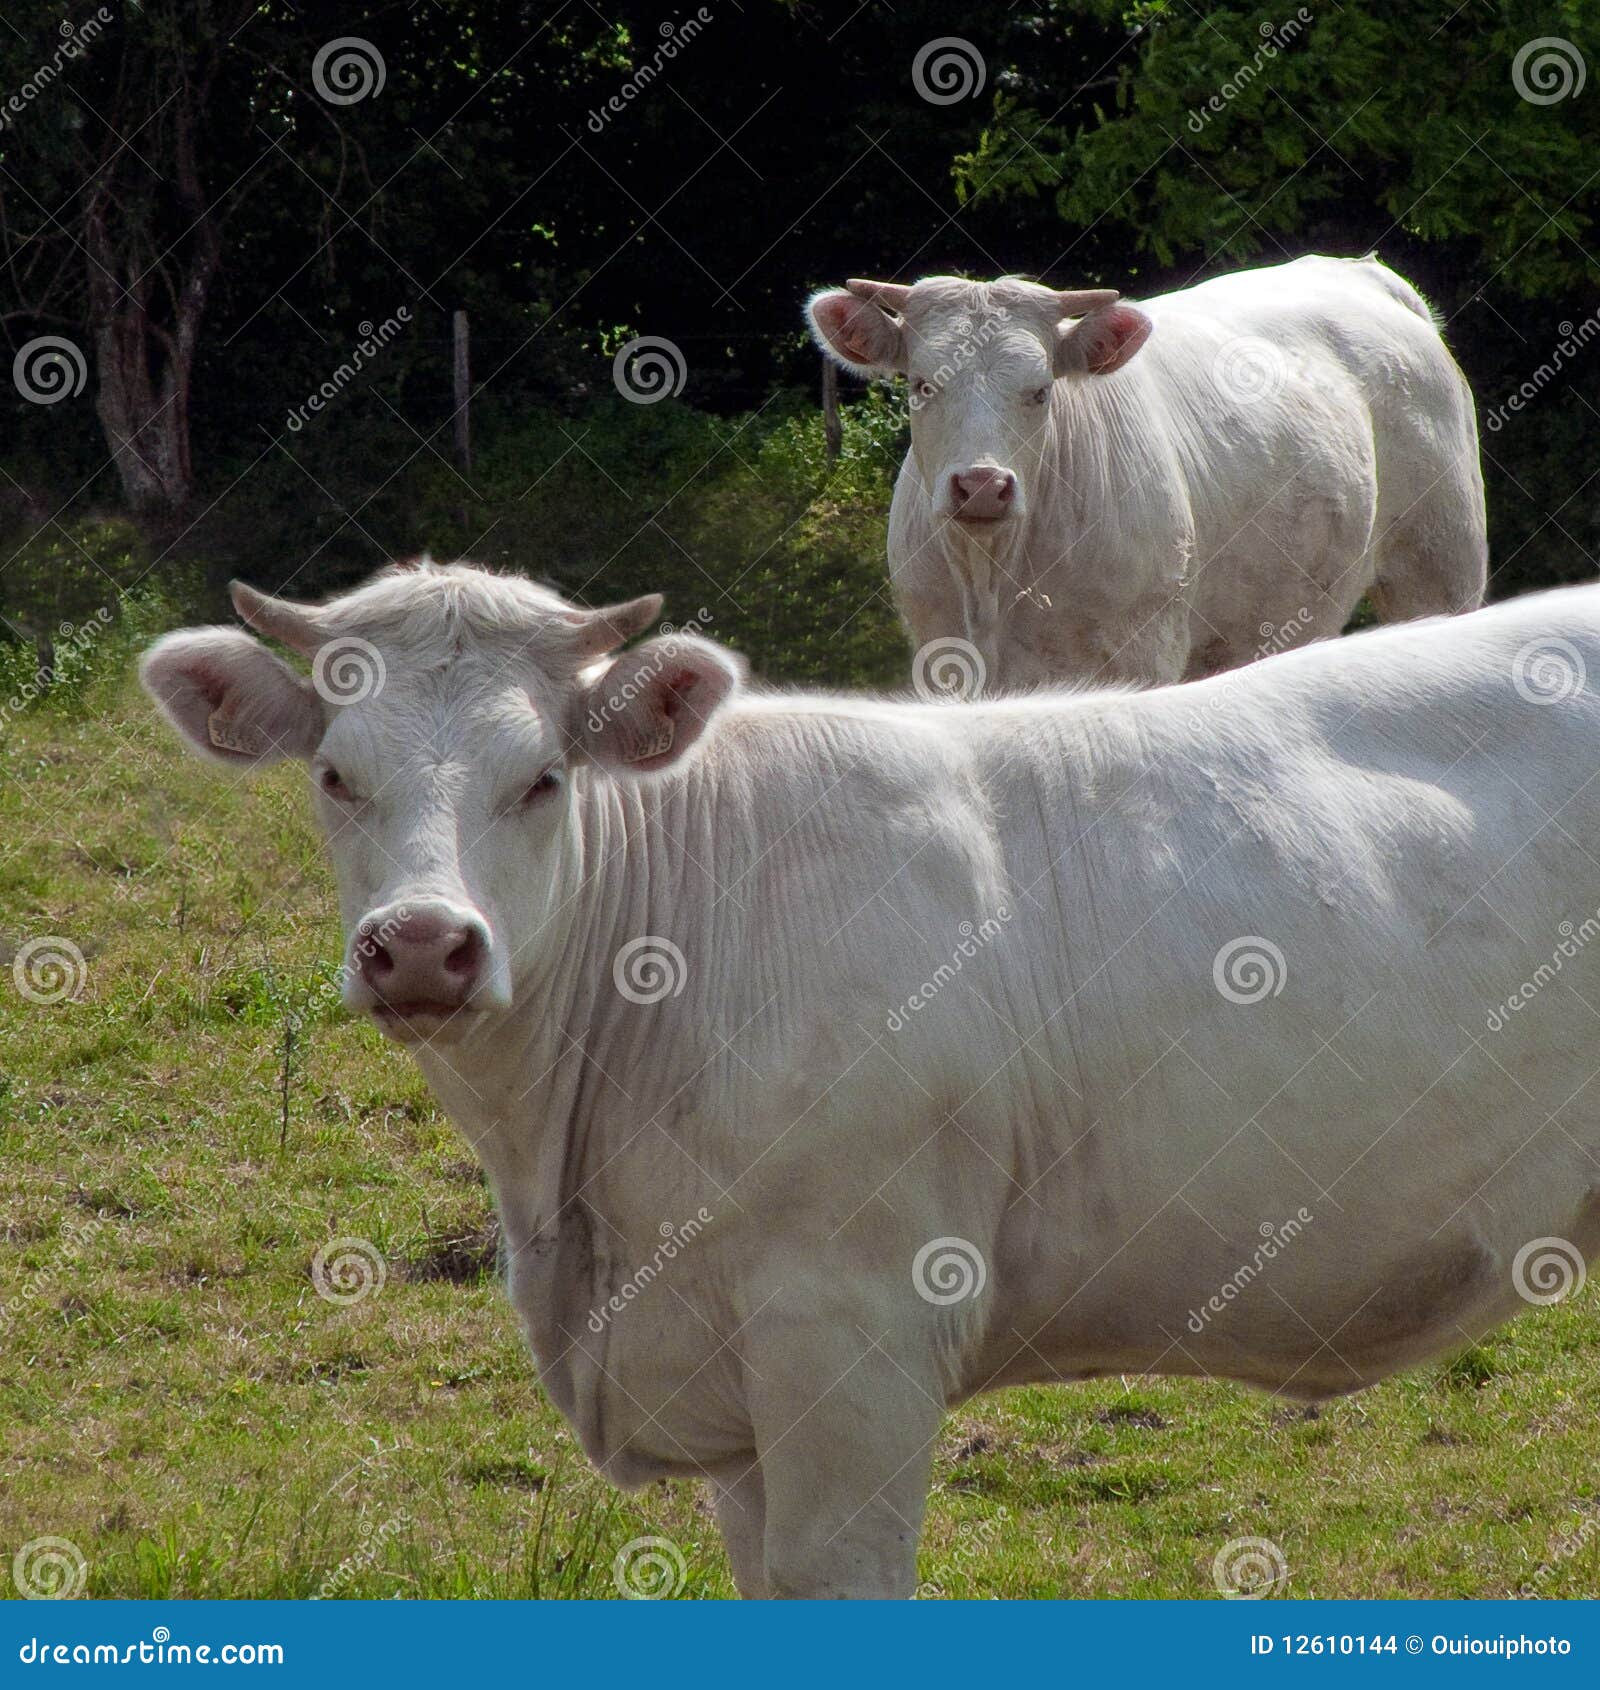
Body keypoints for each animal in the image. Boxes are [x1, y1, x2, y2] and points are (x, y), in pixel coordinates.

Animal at [807, 255, 1487, 692]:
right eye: (922, 386)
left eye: (1040, 391)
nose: (982, 485)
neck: (993, 579)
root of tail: (1364, 272)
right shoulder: (940, 651)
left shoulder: (1140, 650)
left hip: (1442, 566)